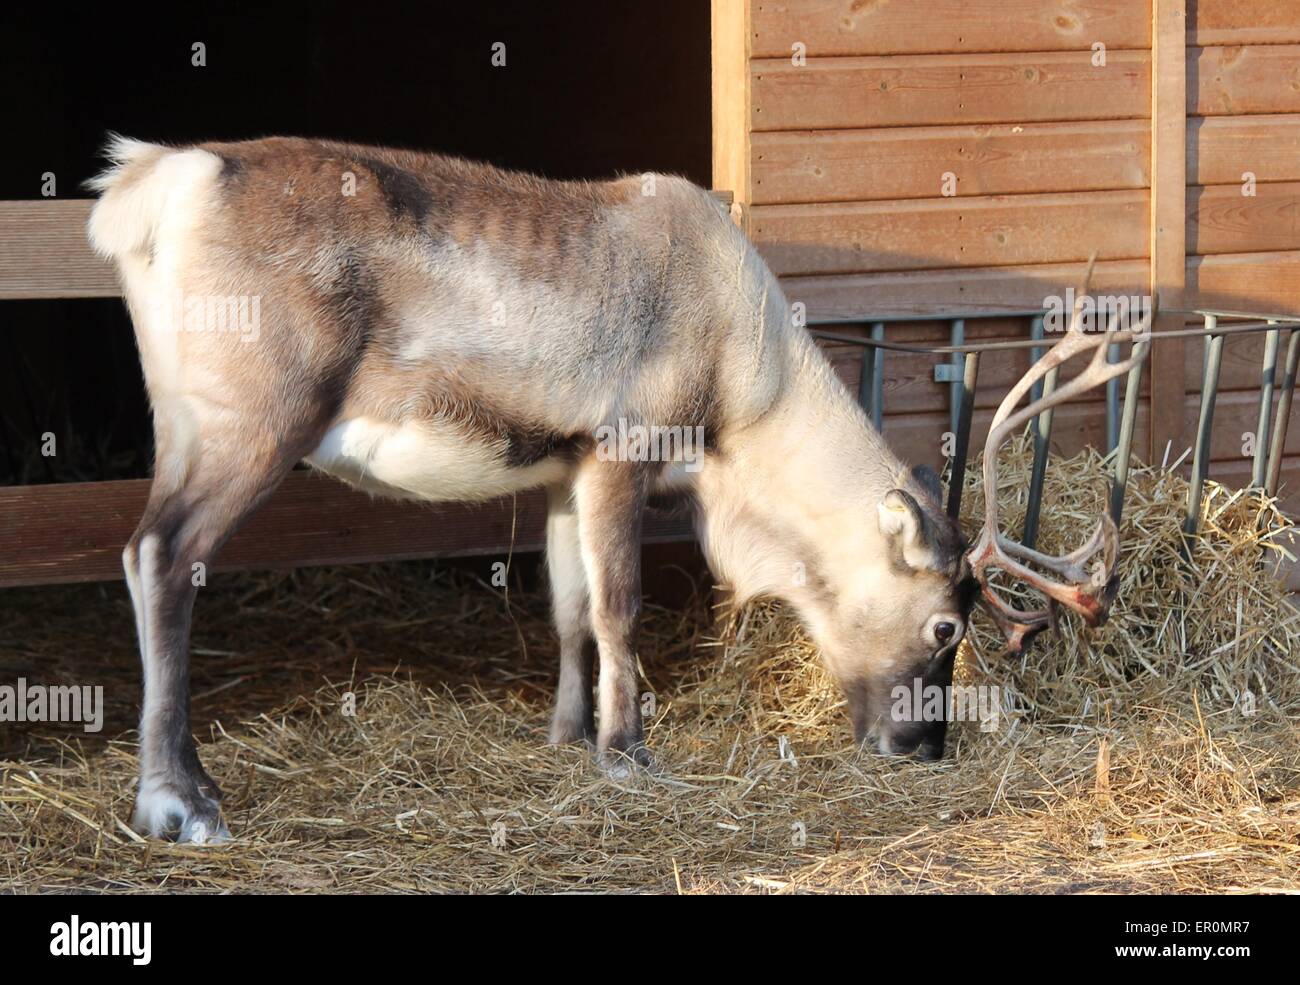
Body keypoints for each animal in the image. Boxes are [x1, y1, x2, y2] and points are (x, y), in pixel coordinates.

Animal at [86, 135, 1143, 843]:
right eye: (946, 625)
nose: (922, 748)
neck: (745, 391)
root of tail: (151, 185)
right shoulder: (621, 447)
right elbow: (619, 607)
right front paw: (627, 750)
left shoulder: (559, 467)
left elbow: (565, 606)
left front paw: (563, 735)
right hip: (253, 418)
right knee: (160, 553)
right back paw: (180, 799)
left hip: (181, 423)